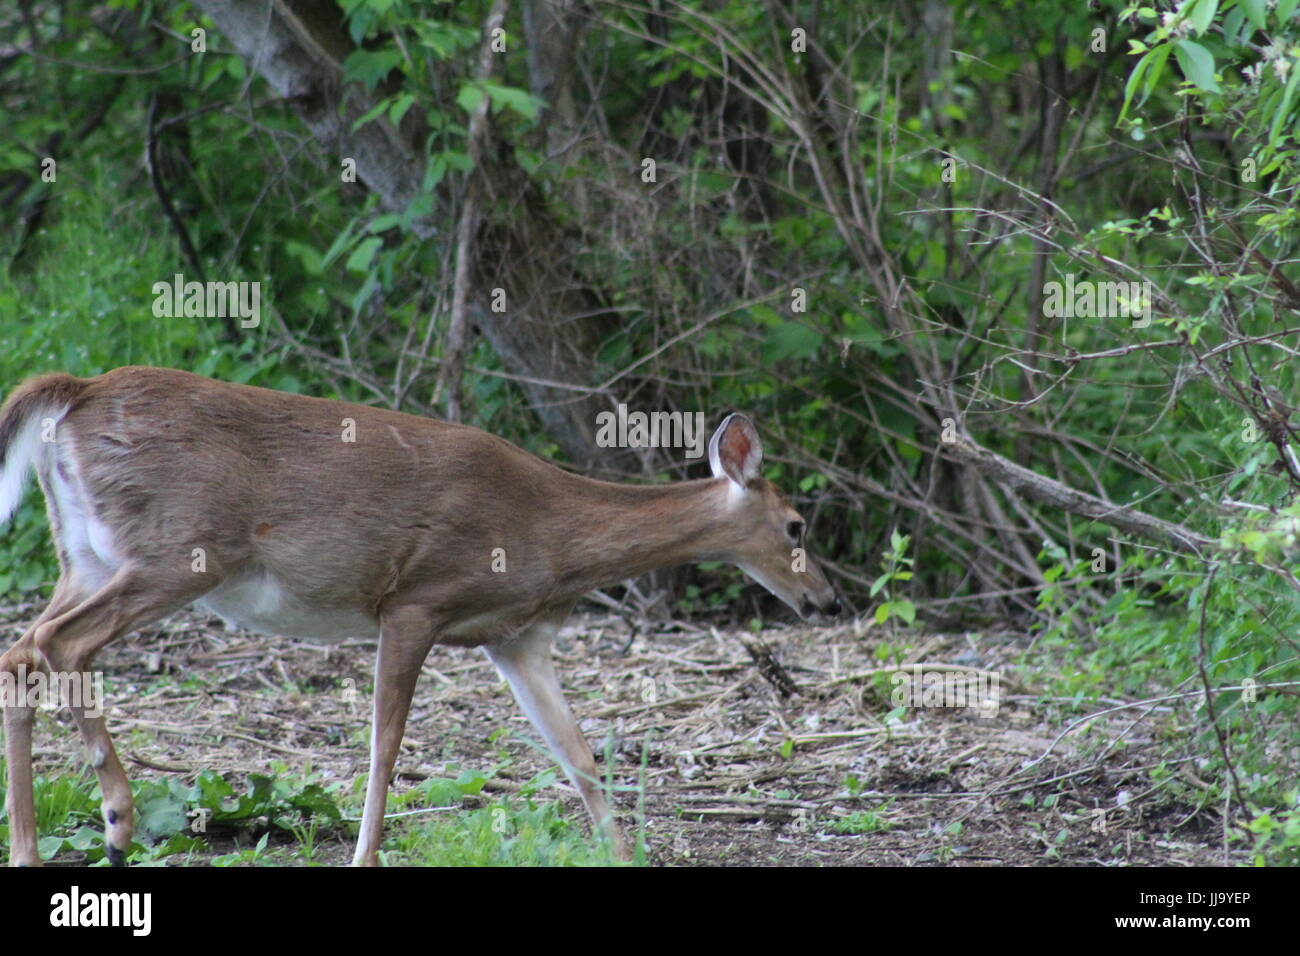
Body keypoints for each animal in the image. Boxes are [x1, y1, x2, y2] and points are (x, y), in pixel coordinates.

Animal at [0, 366, 841, 866]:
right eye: (797, 526)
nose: (827, 599)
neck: (552, 531)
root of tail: (77, 390)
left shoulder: (517, 638)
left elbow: (579, 756)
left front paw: (624, 857)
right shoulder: (415, 600)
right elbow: (385, 747)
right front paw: (365, 855)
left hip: (87, 555)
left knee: (21, 651)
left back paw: (31, 849)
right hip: (177, 551)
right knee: (58, 644)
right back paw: (117, 818)